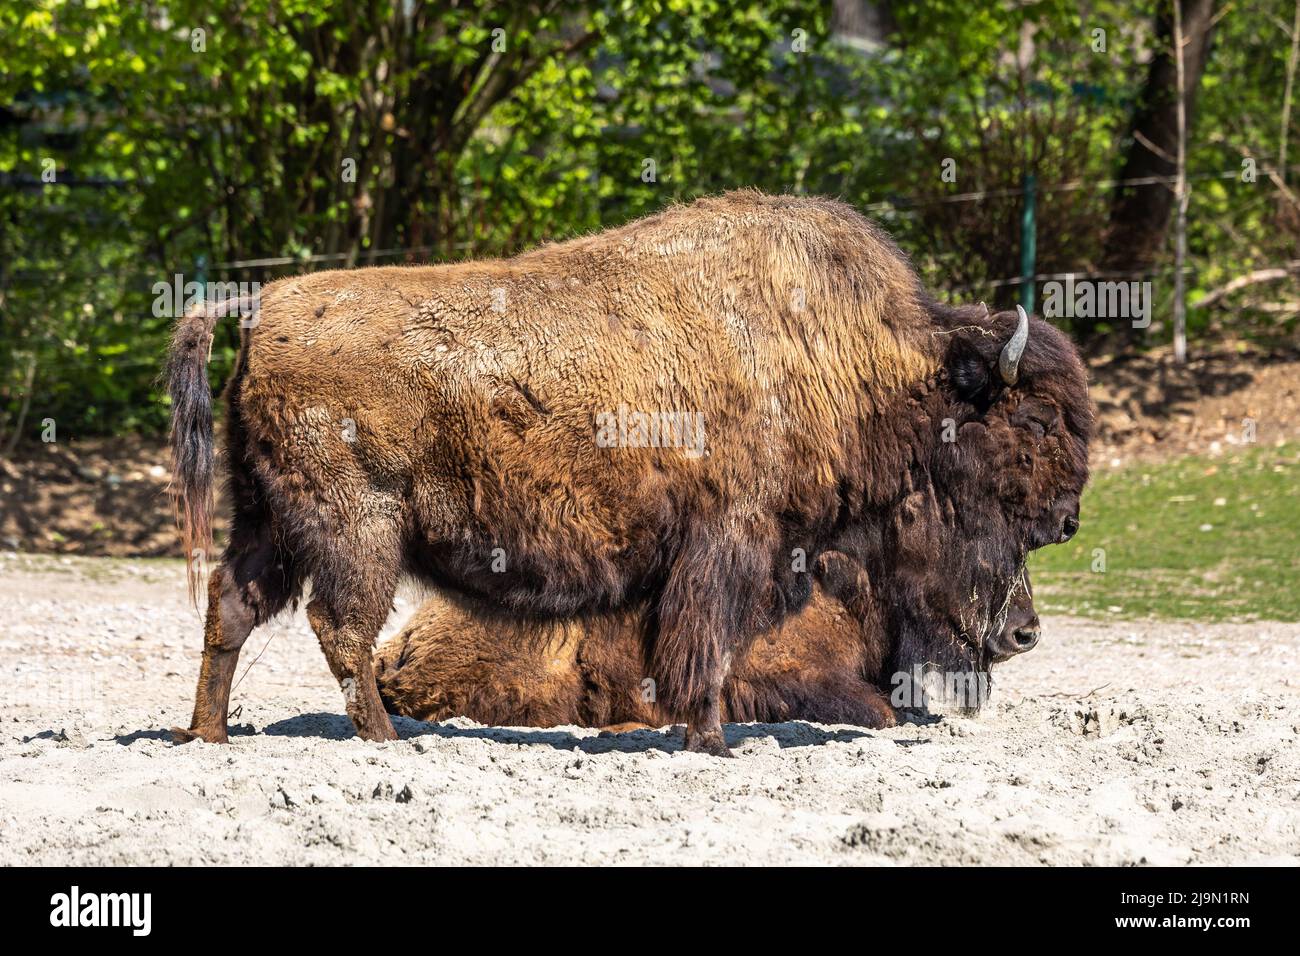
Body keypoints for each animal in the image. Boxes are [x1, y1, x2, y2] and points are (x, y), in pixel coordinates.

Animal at [167, 190, 1091, 754]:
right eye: (1033, 422)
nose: (1067, 518)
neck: (867, 366)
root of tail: (260, 305)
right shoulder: (731, 545)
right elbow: (705, 651)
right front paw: (712, 744)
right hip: (357, 530)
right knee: (340, 627)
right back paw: (386, 741)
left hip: (268, 520)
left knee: (233, 606)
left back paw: (207, 735)